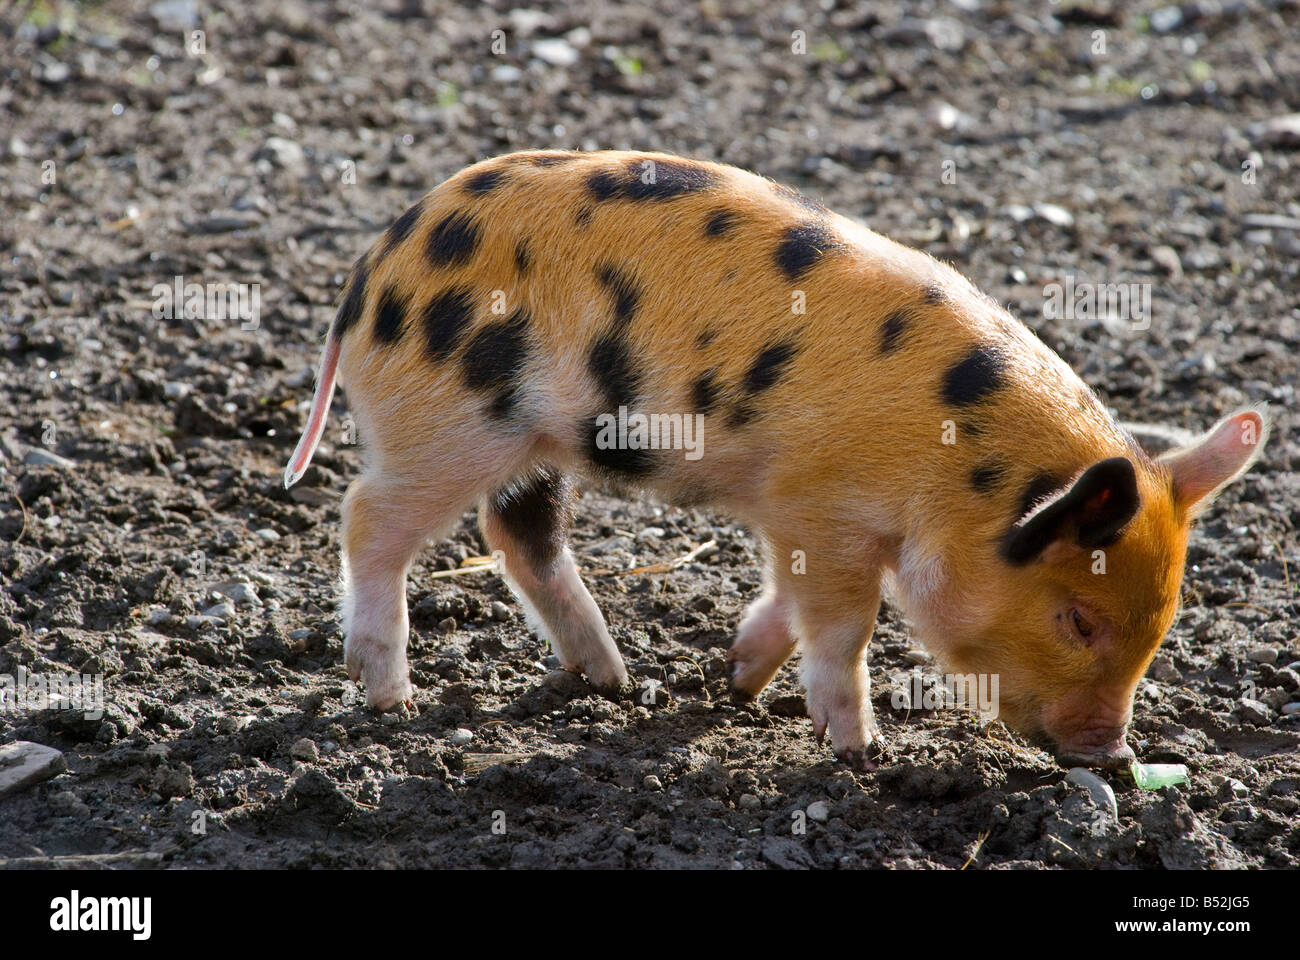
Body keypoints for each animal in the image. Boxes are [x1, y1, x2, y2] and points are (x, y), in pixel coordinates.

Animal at [283, 150, 1268, 771]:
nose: (1115, 753)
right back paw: (392, 699)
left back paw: (615, 681)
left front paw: (732, 682)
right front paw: (860, 752)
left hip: (534, 441)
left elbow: (786, 608)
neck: (957, 470)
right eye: (1077, 618)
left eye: (1161, 626)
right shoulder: (818, 508)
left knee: (518, 530)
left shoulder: (808, 521)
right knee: (367, 519)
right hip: (449, 425)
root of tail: (369, 273)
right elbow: (841, 626)